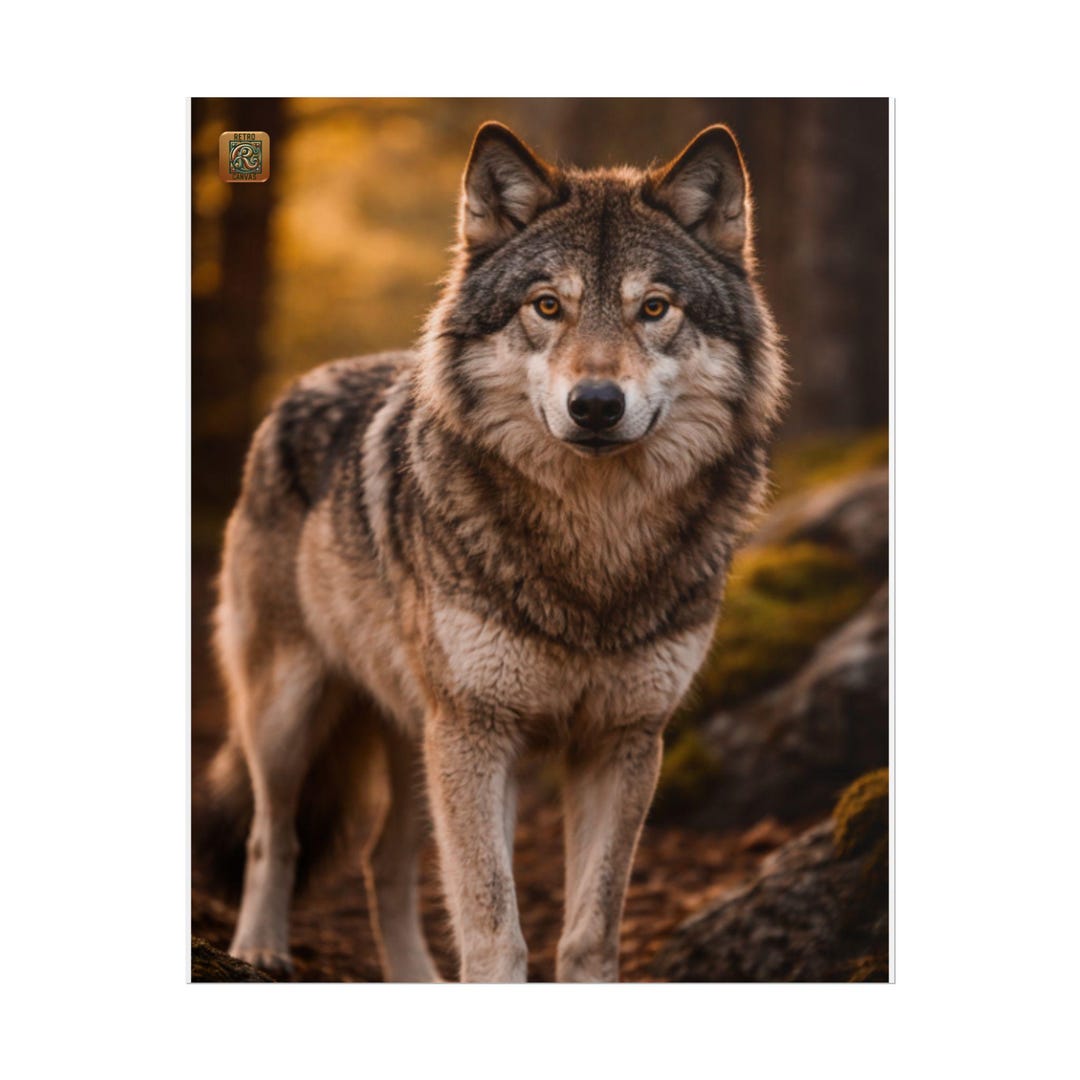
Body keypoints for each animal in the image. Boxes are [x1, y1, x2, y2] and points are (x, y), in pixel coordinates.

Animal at [200, 121, 786, 982]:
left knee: (382, 862)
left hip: (420, 743)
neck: (594, 549)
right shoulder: (479, 730)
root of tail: (298, 388)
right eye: (547, 306)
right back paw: (259, 949)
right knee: (272, 834)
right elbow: (493, 930)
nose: (596, 404)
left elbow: (587, 935)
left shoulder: (624, 741)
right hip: (294, 714)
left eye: (654, 308)